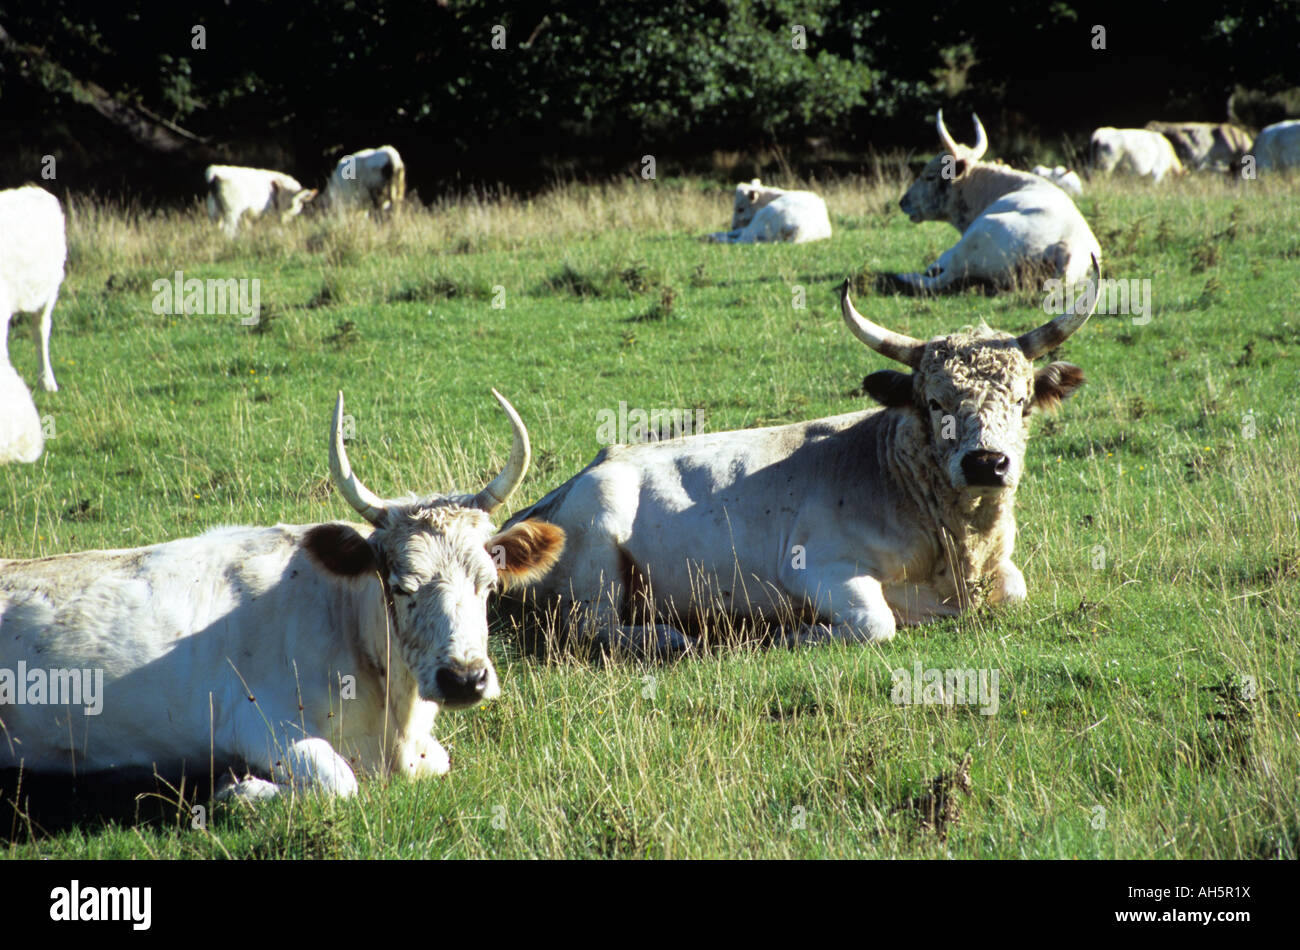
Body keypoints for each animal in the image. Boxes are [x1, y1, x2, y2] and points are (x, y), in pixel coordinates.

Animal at [0, 391, 565, 800]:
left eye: (488, 585)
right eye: (400, 585)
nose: (465, 679)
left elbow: (439, 760)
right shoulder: (262, 722)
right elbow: (339, 784)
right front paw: (238, 788)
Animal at [499, 271, 1099, 656]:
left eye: (1022, 401)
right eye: (934, 402)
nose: (986, 463)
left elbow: (1015, 591)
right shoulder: (817, 567)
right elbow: (876, 622)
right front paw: (793, 633)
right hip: (598, 559)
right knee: (593, 627)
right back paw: (672, 636)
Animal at [891, 112, 1102, 293]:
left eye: (929, 176)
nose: (902, 201)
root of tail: (1066, 248)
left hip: (976, 236)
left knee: (941, 279)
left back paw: (907, 277)